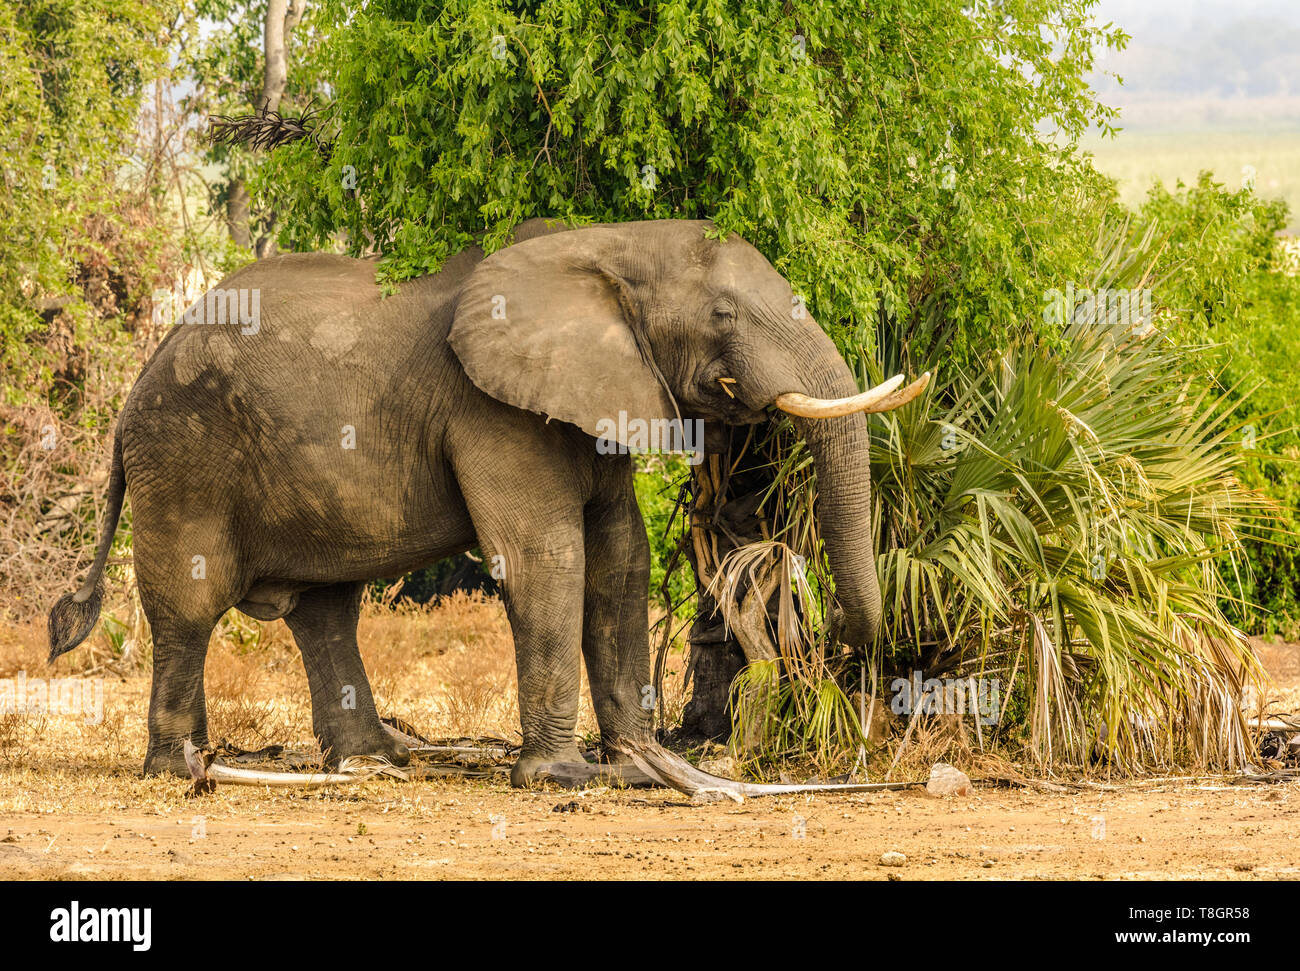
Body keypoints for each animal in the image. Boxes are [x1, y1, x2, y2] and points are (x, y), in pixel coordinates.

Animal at [47, 217, 926, 786]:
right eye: (723, 314)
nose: (831, 646)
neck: (605, 243)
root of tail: (135, 384)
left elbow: (621, 556)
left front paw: (643, 768)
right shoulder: (492, 409)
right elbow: (549, 557)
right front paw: (563, 777)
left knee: (325, 610)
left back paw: (373, 763)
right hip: (181, 454)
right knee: (190, 605)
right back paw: (181, 769)